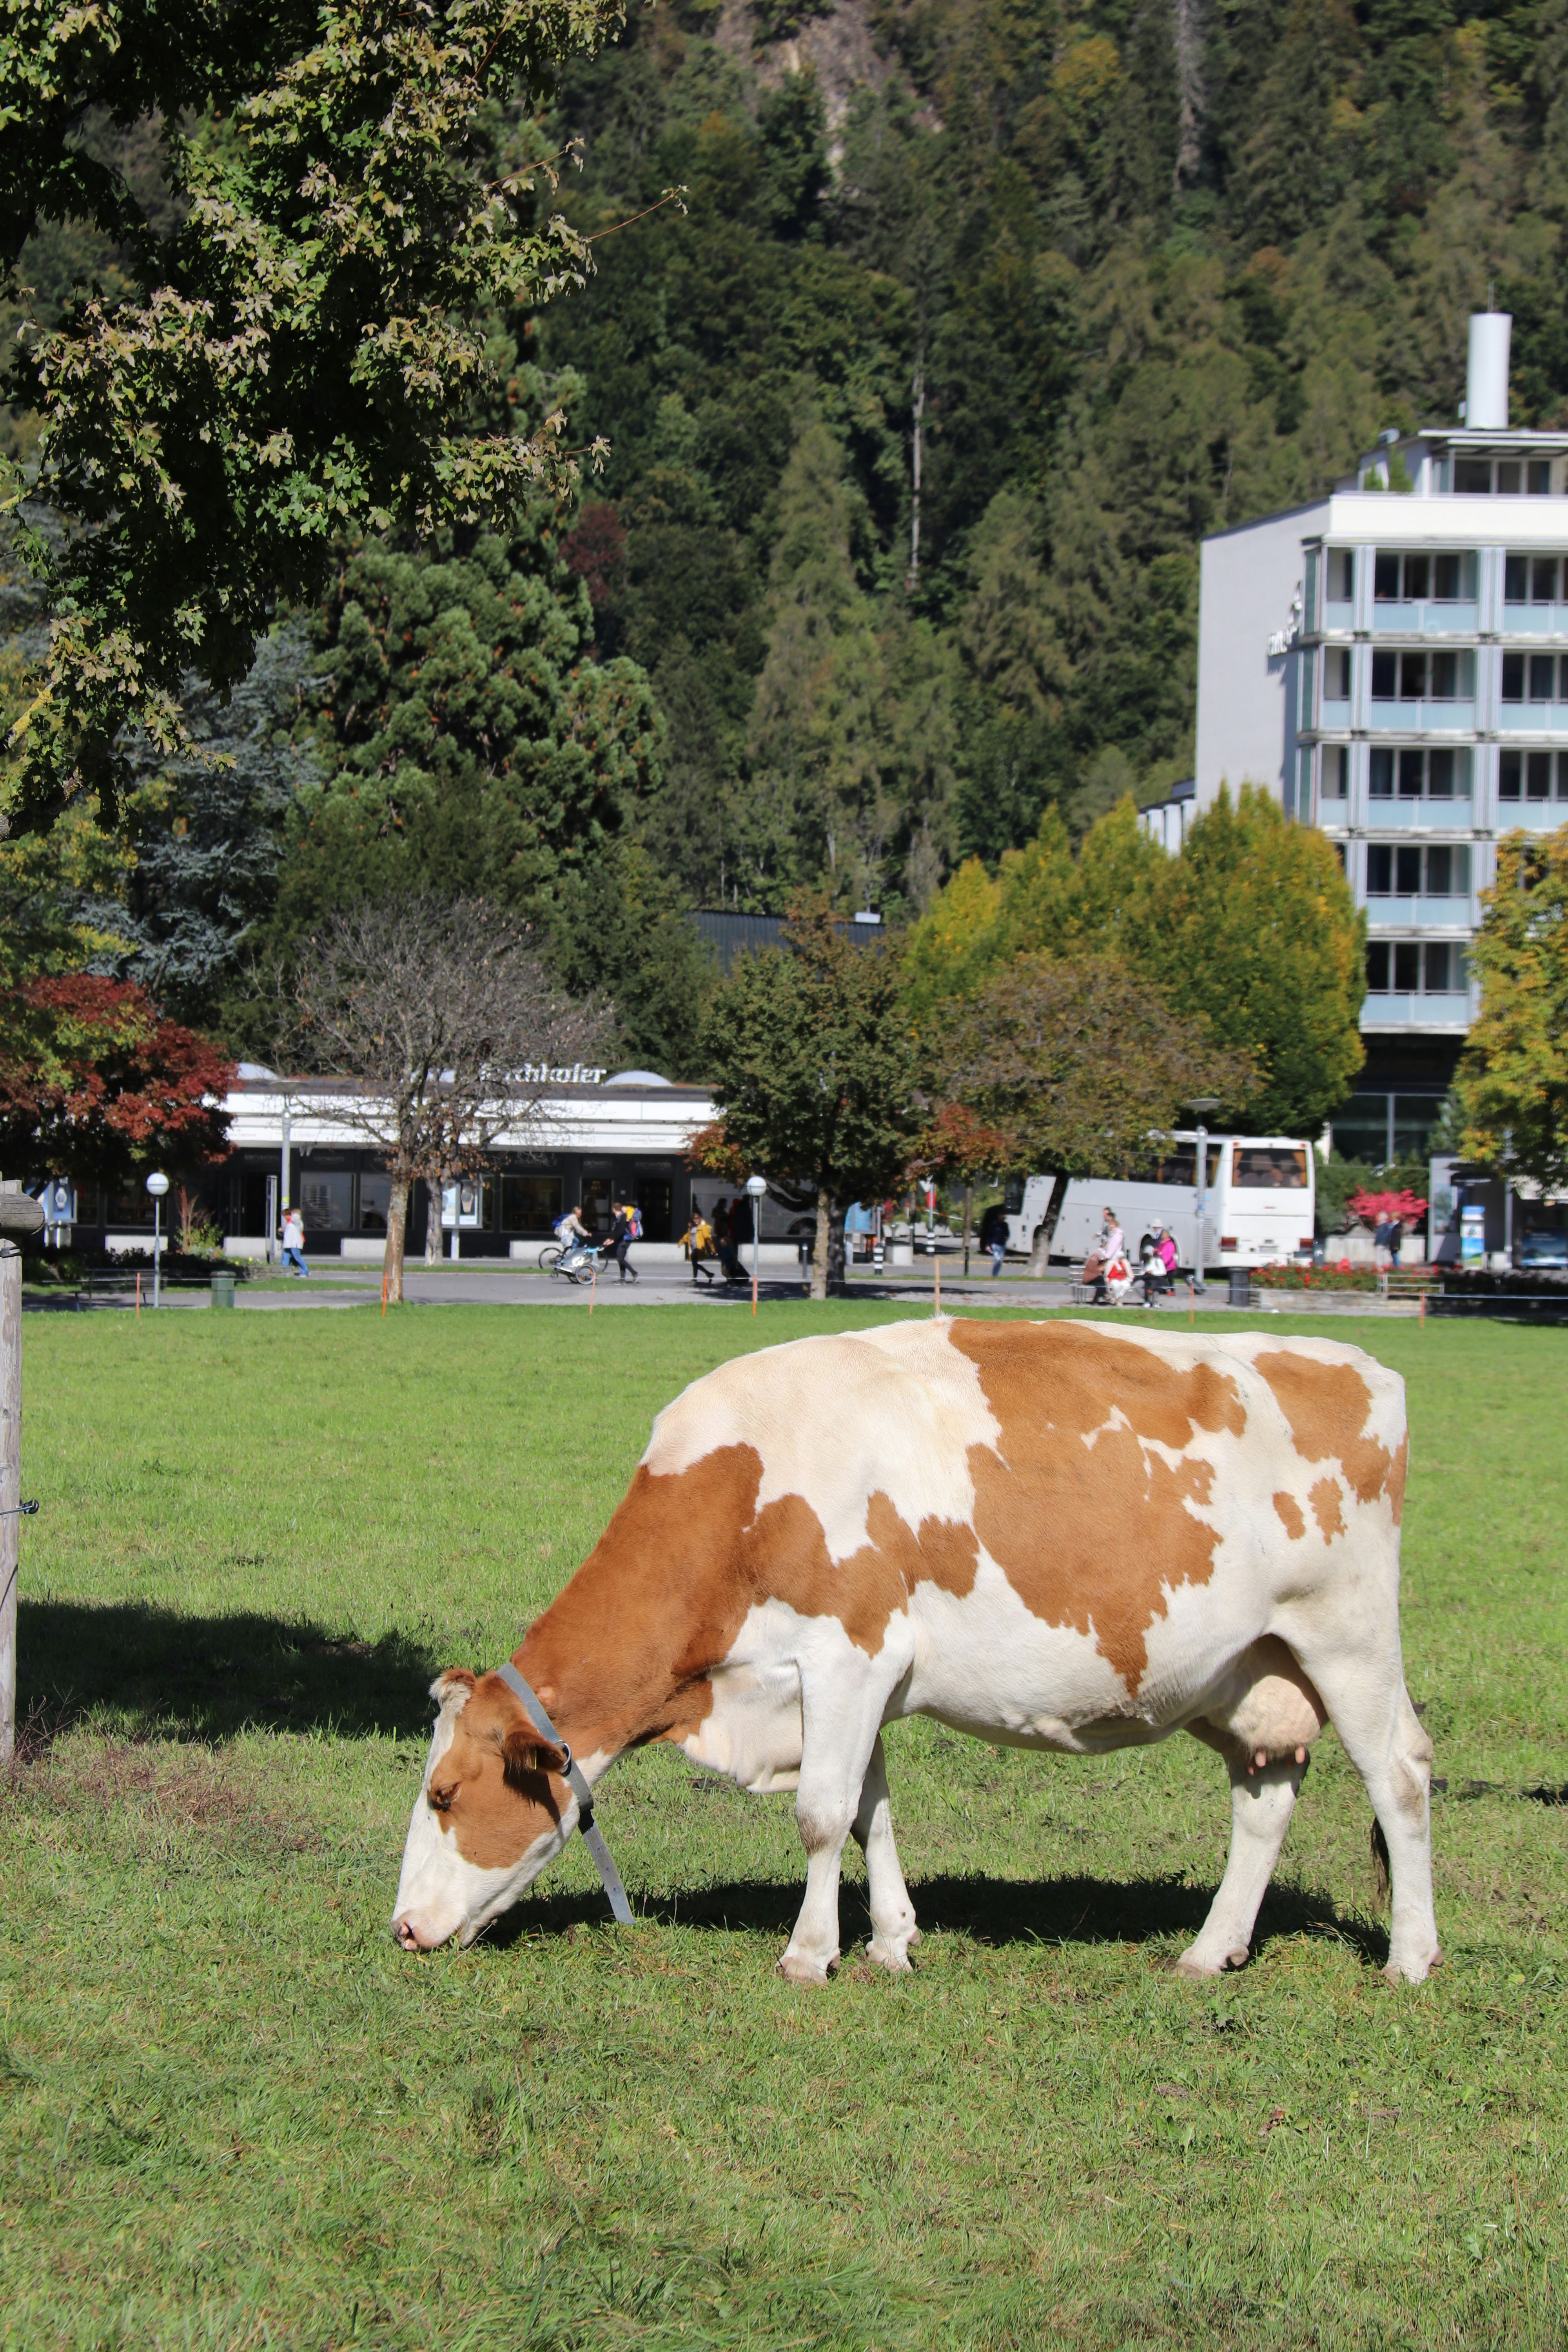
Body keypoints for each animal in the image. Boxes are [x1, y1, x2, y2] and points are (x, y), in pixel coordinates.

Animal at [393, 1318, 1440, 1985]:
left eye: (444, 1794)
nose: (401, 1929)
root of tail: (1358, 1365)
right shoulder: (851, 1682)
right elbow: (870, 1812)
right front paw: (891, 1942)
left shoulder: (845, 1656)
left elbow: (820, 1816)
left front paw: (806, 1955)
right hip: (1249, 1671)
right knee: (1264, 1797)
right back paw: (1205, 1952)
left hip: (1347, 1639)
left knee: (1399, 1778)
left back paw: (1408, 1958)